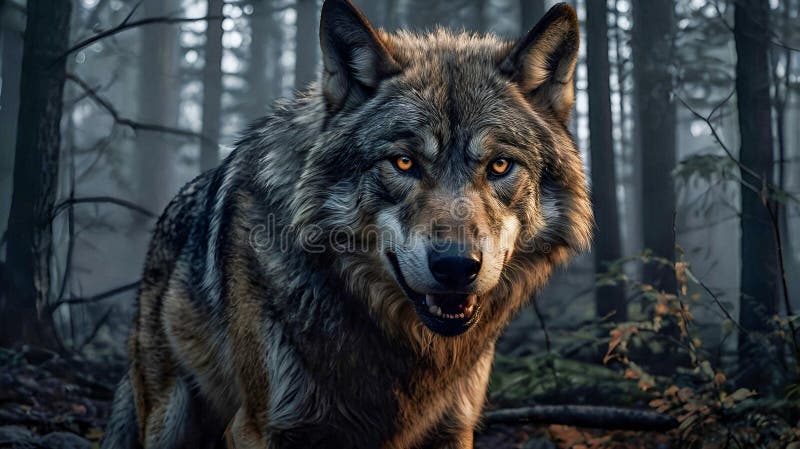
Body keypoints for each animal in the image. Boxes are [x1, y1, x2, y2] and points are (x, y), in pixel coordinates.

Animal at [101, 1, 592, 448]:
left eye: (500, 165)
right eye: (404, 162)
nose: (456, 267)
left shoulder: (454, 429)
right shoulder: (261, 428)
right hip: (169, 419)